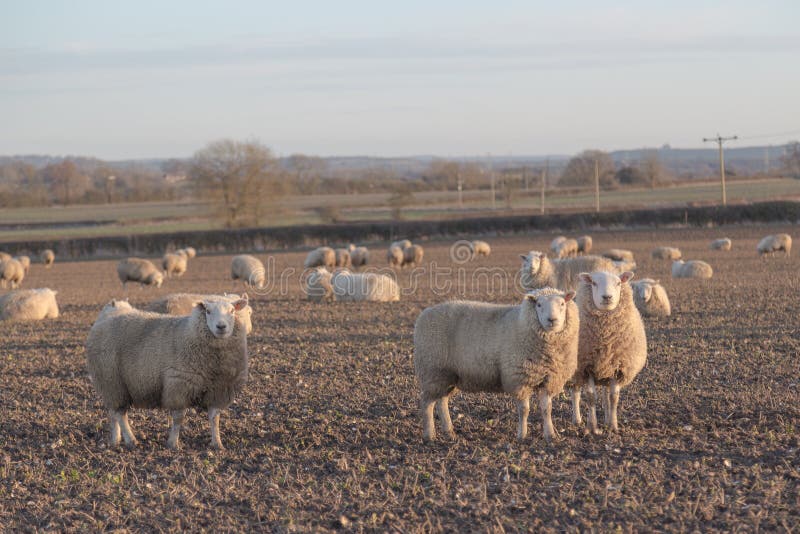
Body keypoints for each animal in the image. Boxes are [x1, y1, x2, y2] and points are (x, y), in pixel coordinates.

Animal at [86, 294, 250, 450]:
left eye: (232, 311)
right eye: (208, 311)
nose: (221, 326)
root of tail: (107, 314)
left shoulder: (219, 390)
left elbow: (215, 419)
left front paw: (217, 443)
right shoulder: (179, 384)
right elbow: (178, 418)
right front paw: (173, 444)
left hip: (110, 384)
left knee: (113, 412)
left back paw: (115, 440)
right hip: (112, 380)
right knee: (120, 414)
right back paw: (131, 440)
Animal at [414, 288, 579, 443]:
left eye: (562, 304)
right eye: (538, 305)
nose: (552, 320)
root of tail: (424, 314)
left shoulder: (549, 379)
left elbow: (547, 409)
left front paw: (550, 435)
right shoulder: (519, 378)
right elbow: (524, 410)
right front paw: (522, 435)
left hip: (447, 374)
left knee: (442, 402)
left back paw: (449, 432)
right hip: (433, 369)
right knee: (427, 404)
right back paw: (429, 435)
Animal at [572, 271, 647, 435]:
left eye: (618, 283)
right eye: (594, 283)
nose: (607, 297)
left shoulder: (617, 367)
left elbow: (613, 397)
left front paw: (613, 426)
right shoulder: (586, 367)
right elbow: (591, 397)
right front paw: (592, 427)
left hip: (606, 372)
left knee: (606, 395)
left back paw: (606, 420)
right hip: (576, 372)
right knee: (576, 393)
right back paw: (577, 420)